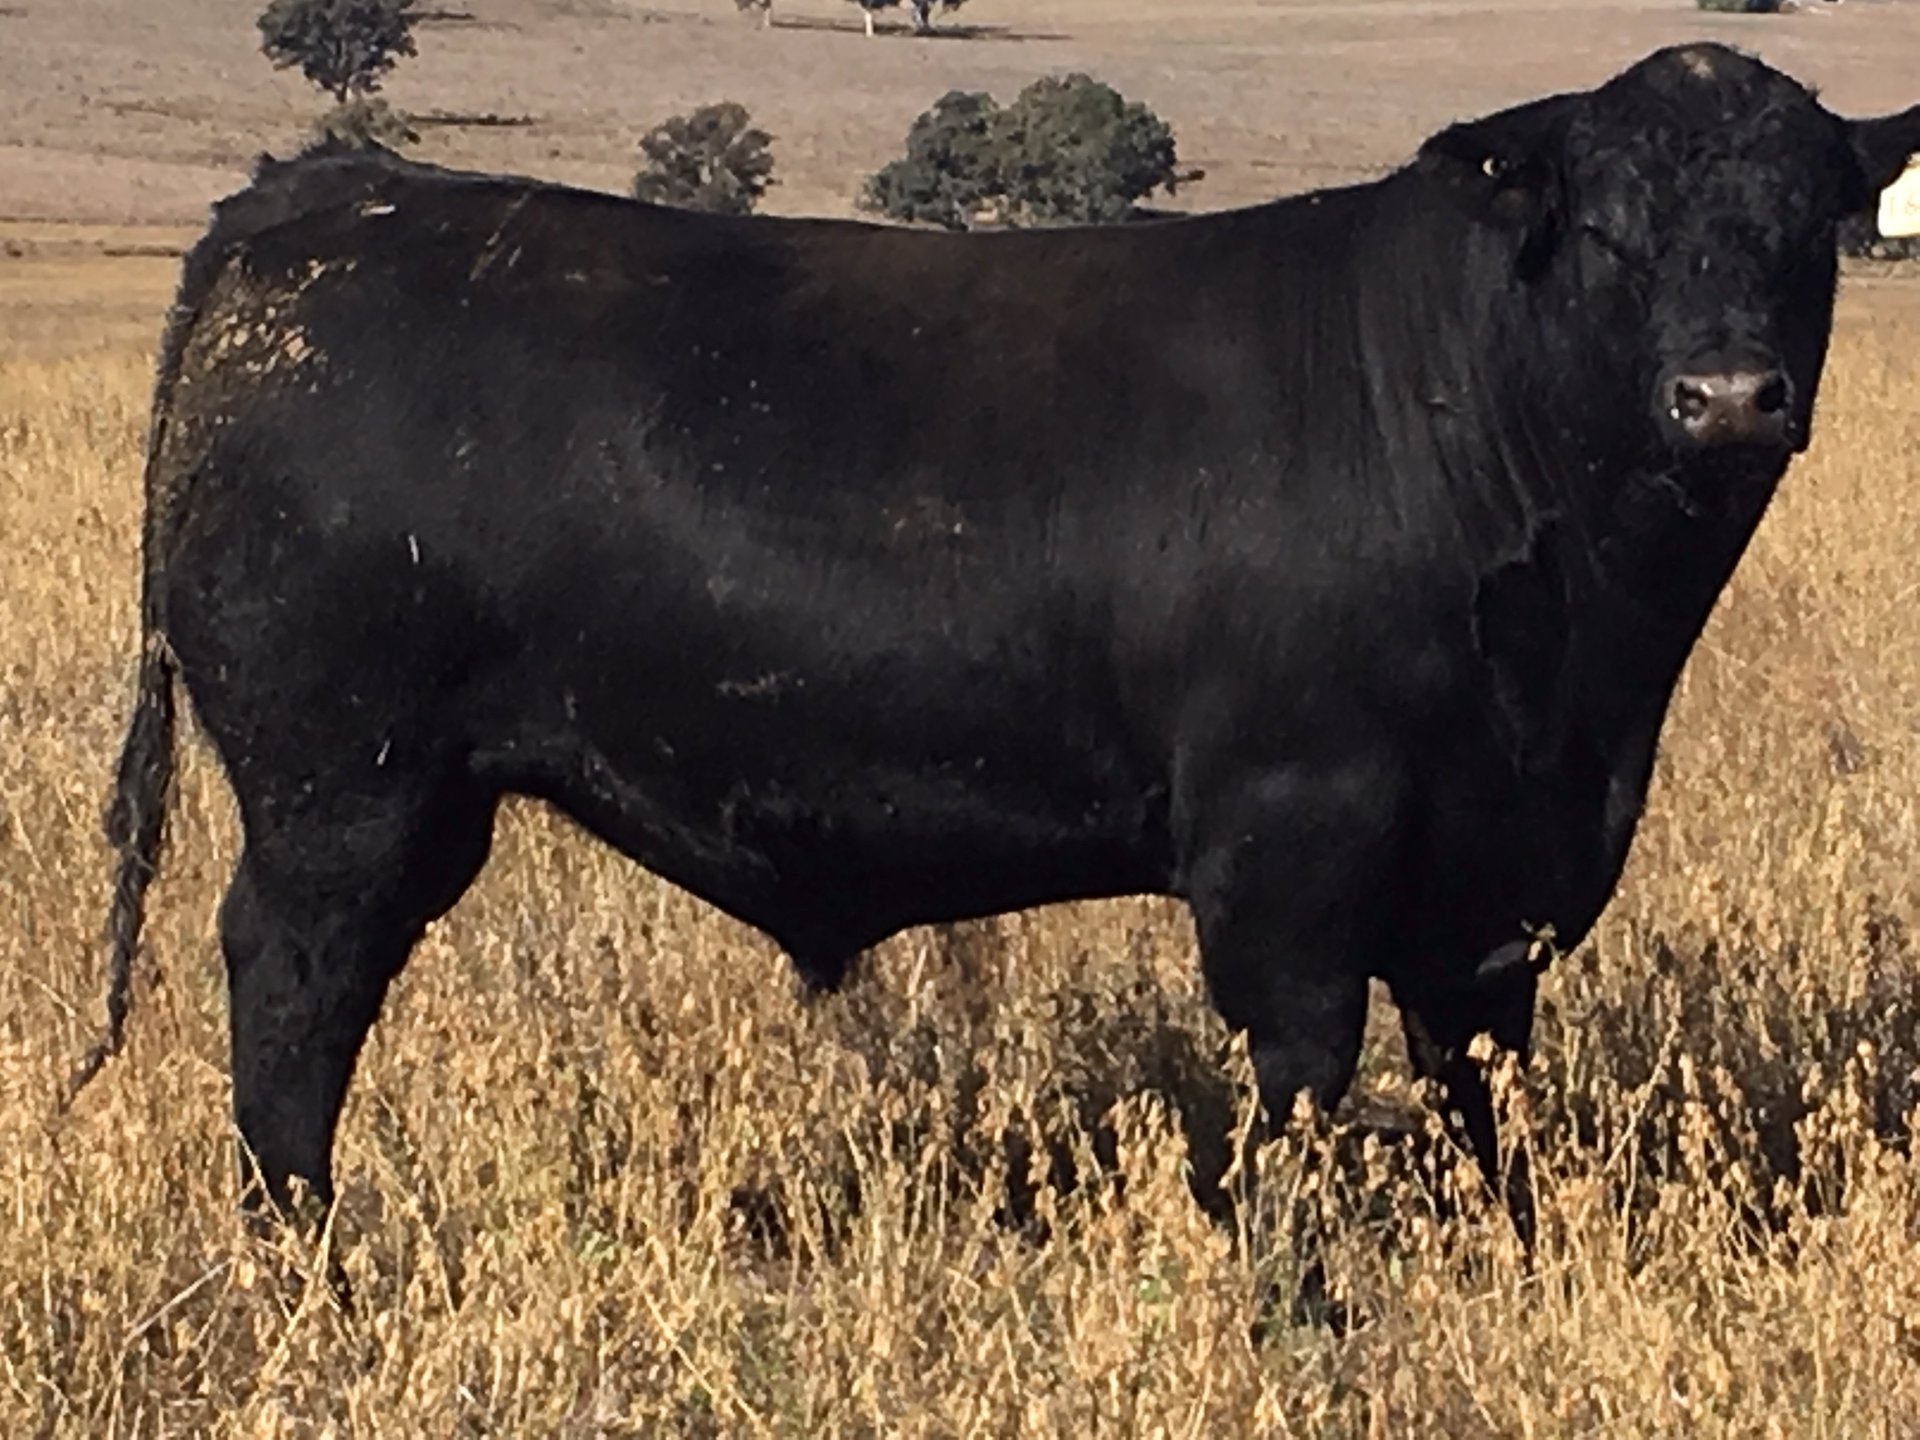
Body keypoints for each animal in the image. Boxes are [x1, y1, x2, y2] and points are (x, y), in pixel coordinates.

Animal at [77, 44, 1919, 1255]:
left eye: (1810, 222)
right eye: (1609, 226)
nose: (1727, 395)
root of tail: (327, 199)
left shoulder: (1499, 873)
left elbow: (1479, 1087)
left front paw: (1506, 1256)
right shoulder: (1289, 836)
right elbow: (1301, 1082)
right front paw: (1302, 1293)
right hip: (343, 788)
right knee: (293, 995)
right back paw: (309, 1259)